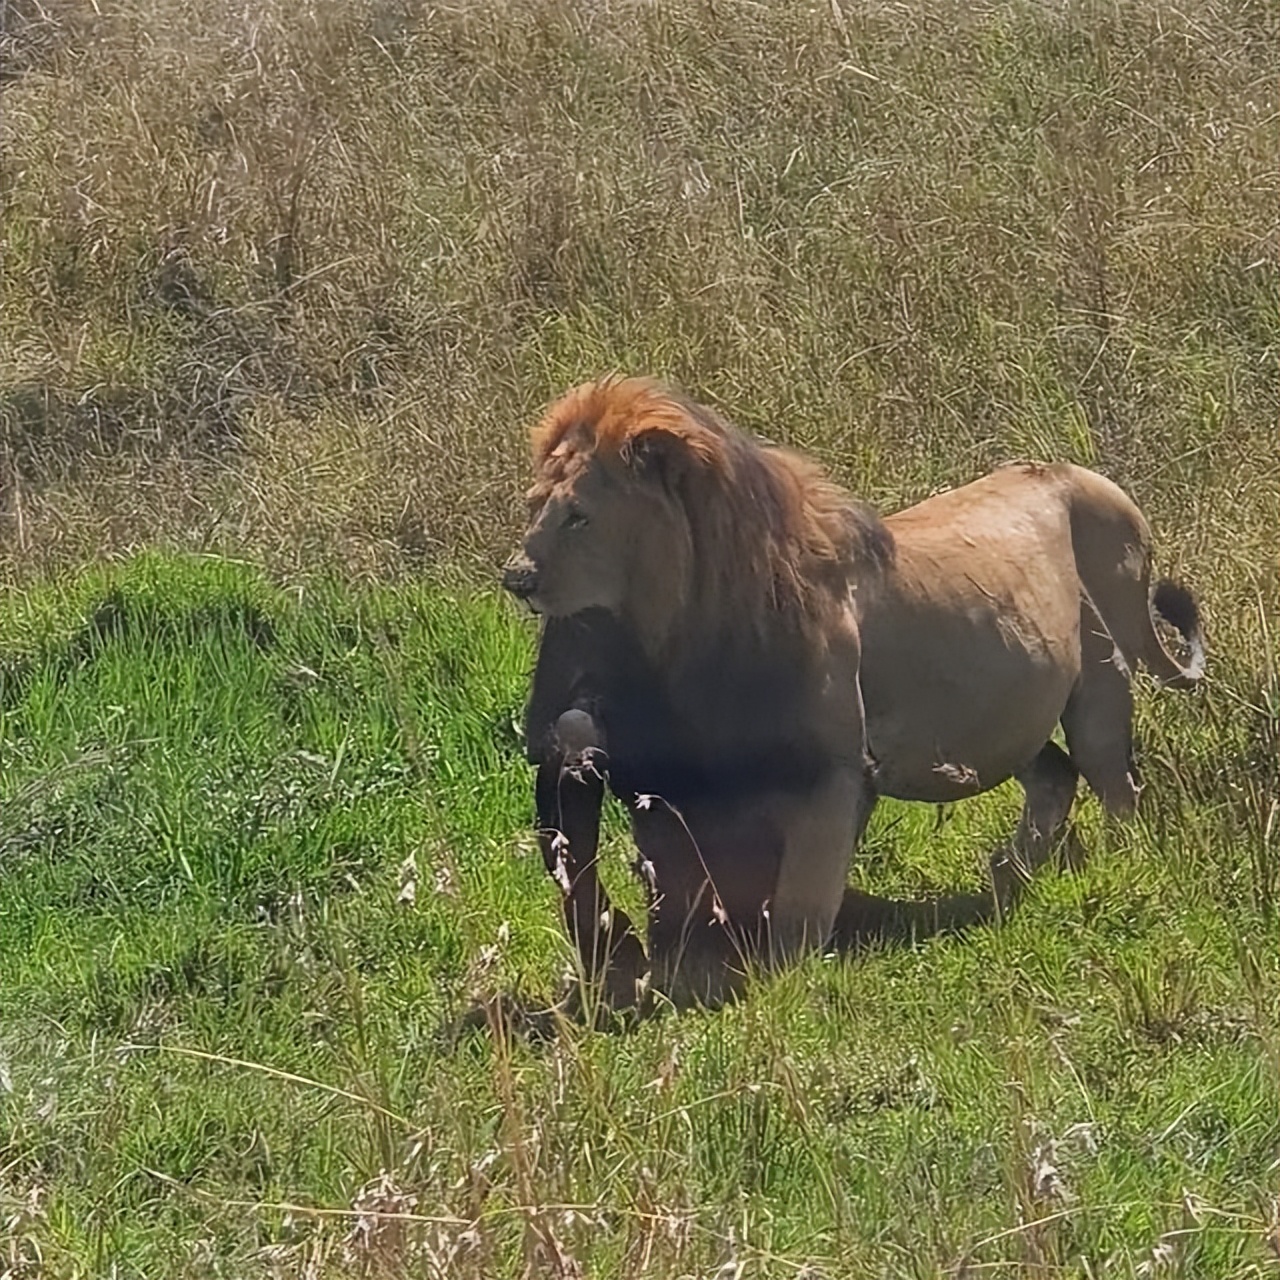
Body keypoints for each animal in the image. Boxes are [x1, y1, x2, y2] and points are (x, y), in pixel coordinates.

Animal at [502, 376, 1205, 1009]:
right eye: (533, 506)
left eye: (578, 517)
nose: (516, 578)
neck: (678, 627)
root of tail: (1084, 475)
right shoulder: (674, 780)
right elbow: (676, 889)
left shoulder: (832, 774)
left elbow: (800, 905)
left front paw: (781, 989)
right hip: (1003, 716)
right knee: (1056, 776)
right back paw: (1010, 875)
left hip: (1104, 674)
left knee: (1115, 784)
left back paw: (1113, 864)